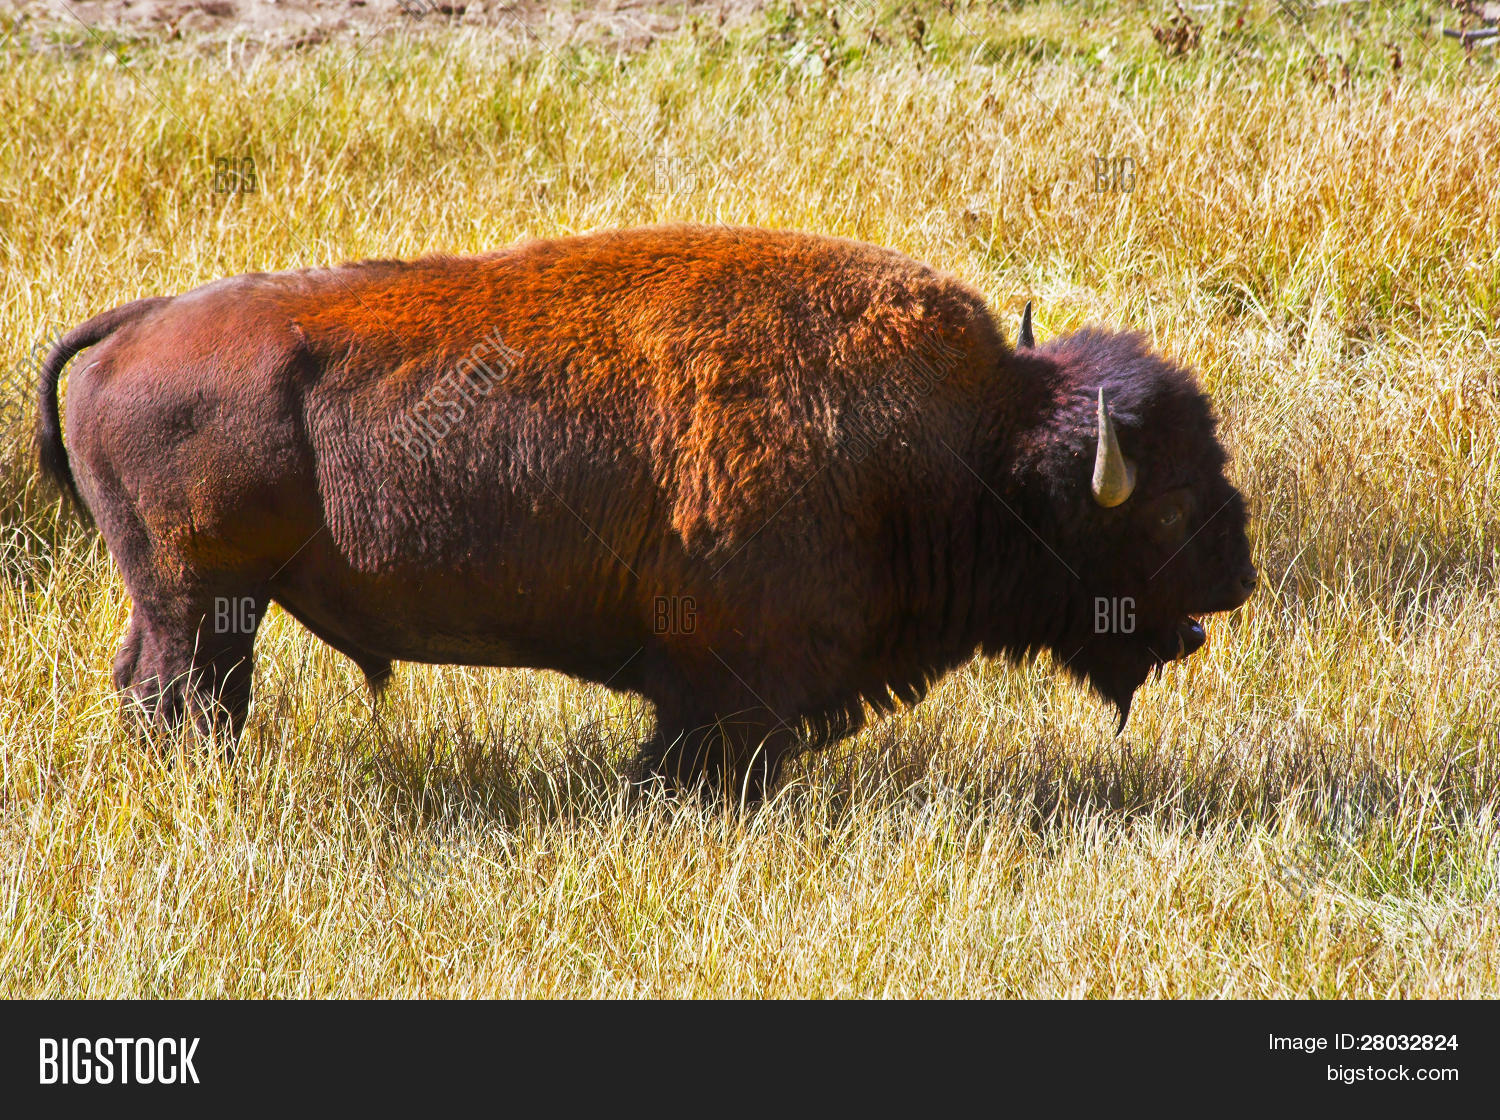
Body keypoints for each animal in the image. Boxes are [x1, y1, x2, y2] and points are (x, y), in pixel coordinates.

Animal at [37, 224, 1255, 798]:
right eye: (1163, 509)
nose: (1236, 581)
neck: (970, 445)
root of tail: (131, 327)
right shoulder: (733, 682)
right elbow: (704, 752)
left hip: (196, 602)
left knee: (172, 692)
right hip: (204, 598)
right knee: (183, 696)